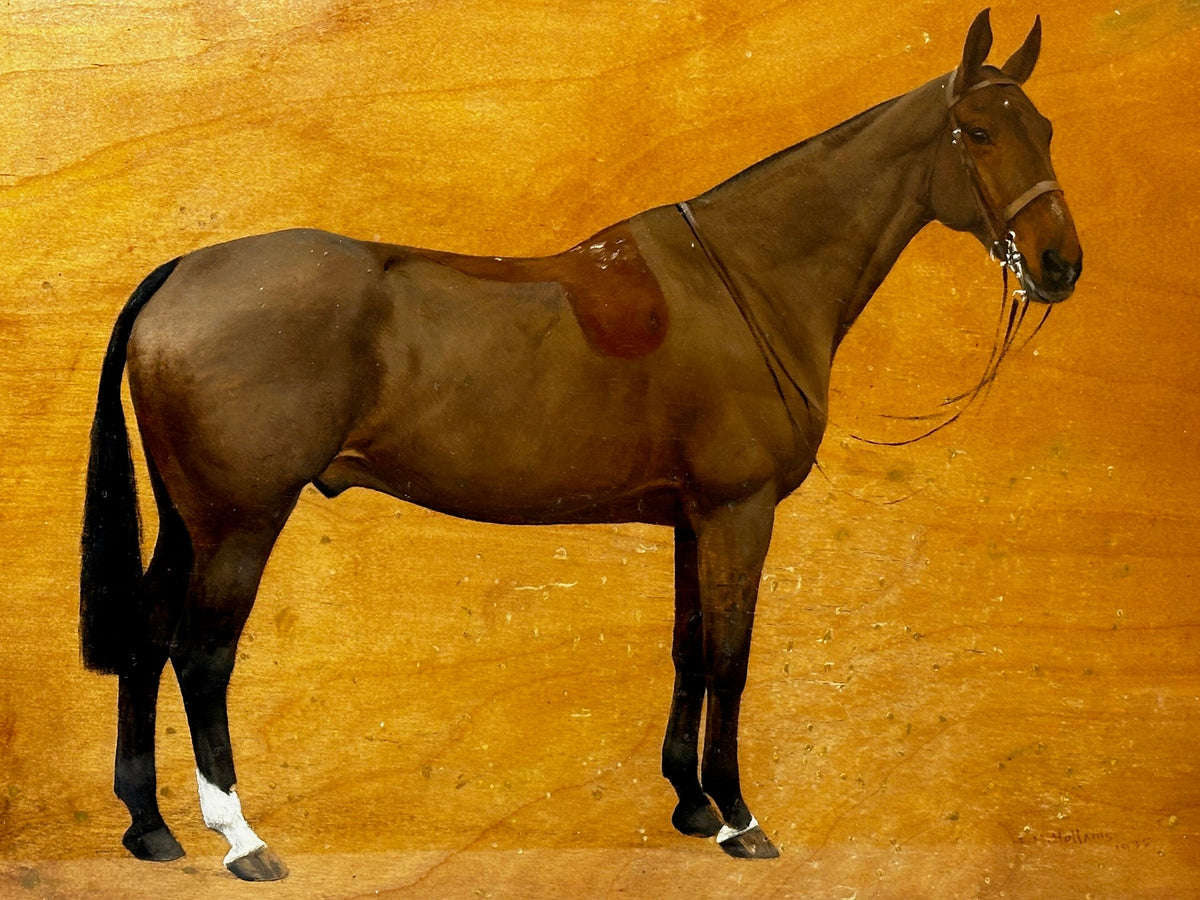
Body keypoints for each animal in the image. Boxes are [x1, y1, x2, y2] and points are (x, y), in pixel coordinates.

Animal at [80, 9, 1080, 881]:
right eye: (978, 134)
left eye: (1045, 127)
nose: (1060, 265)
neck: (749, 279)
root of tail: (181, 273)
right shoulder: (739, 511)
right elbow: (732, 658)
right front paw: (739, 817)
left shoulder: (694, 519)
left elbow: (689, 649)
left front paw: (690, 805)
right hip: (241, 522)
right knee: (201, 656)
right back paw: (241, 840)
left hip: (190, 521)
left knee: (146, 636)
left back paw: (151, 828)